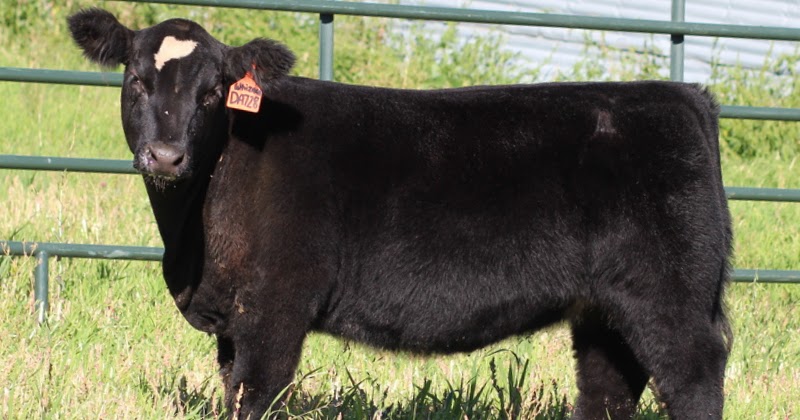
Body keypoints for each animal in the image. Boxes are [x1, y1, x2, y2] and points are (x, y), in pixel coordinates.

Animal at [68, 8, 732, 419]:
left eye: (210, 93)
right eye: (134, 81)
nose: (165, 155)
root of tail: (682, 96)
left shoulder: (275, 308)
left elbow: (256, 396)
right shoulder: (233, 320)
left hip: (670, 297)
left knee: (693, 374)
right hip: (603, 308)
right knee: (608, 388)